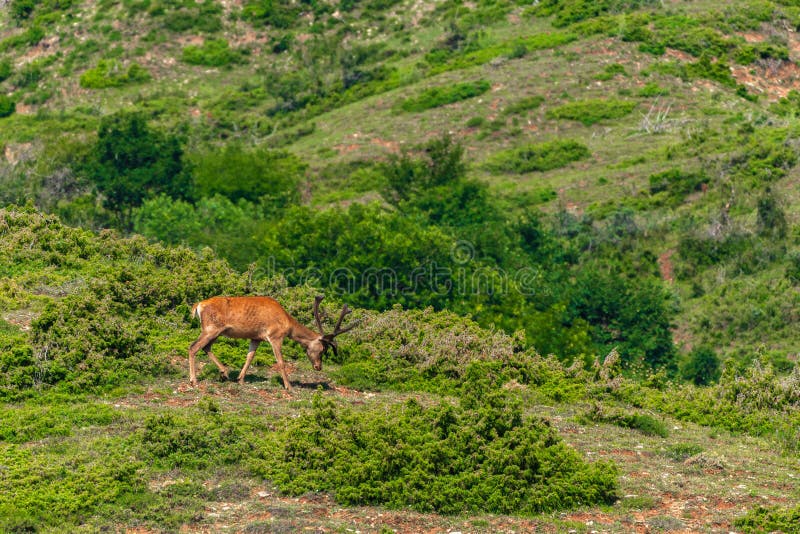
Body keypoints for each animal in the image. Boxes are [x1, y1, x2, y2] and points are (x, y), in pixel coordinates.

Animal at [188, 295, 357, 390]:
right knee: (193, 347)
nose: (318, 367)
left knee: (206, 347)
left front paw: (240, 379)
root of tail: (198, 306)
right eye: (322, 349)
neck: (288, 324)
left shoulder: (256, 337)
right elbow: (281, 362)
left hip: (215, 331)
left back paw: (224, 373)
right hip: (211, 328)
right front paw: (289, 386)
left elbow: (249, 357)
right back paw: (194, 381)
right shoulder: (275, 336)